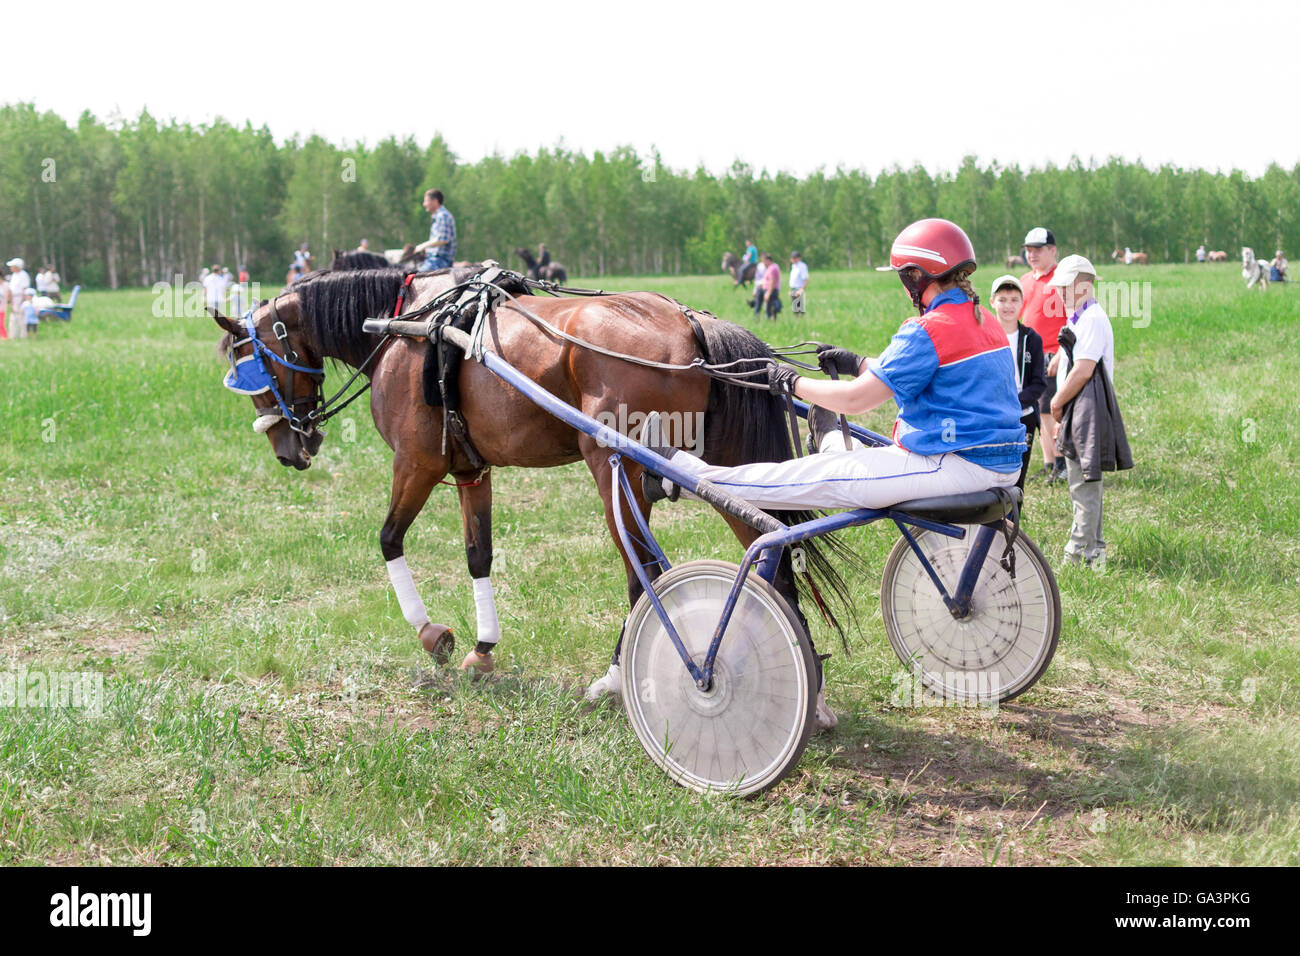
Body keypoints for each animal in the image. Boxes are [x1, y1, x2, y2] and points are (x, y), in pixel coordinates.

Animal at [211, 265, 858, 724]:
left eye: (247, 365)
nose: (288, 448)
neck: (411, 326)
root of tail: (689, 324)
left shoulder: (416, 463)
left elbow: (389, 540)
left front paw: (432, 634)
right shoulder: (470, 470)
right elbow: (478, 556)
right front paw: (482, 649)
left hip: (617, 471)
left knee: (644, 572)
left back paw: (625, 677)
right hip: (723, 465)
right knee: (772, 552)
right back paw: (811, 691)